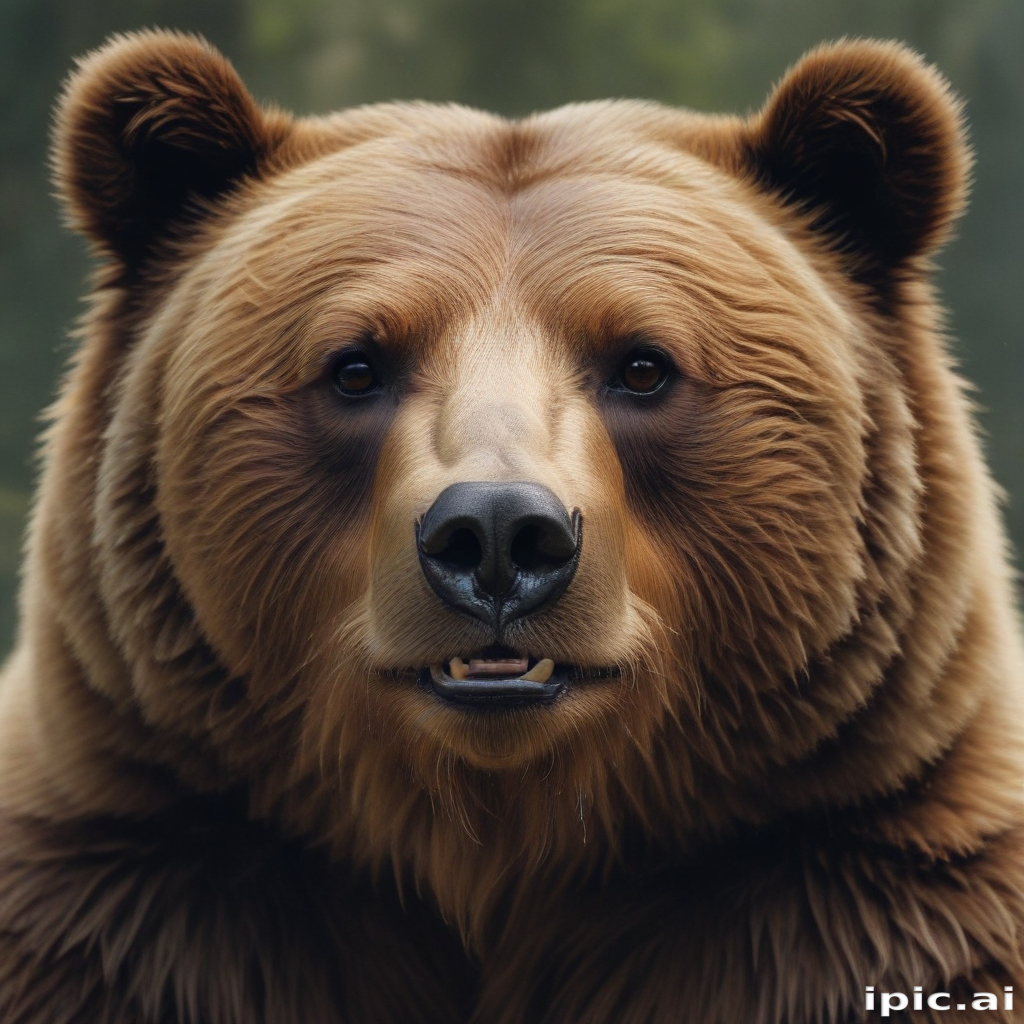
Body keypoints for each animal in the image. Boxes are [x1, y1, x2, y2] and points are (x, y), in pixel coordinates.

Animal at [0, 26, 1022, 1024]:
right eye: (355, 366)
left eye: (643, 365)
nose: (495, 534)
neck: (496, 848)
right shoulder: (141, 911)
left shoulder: (867, 906)